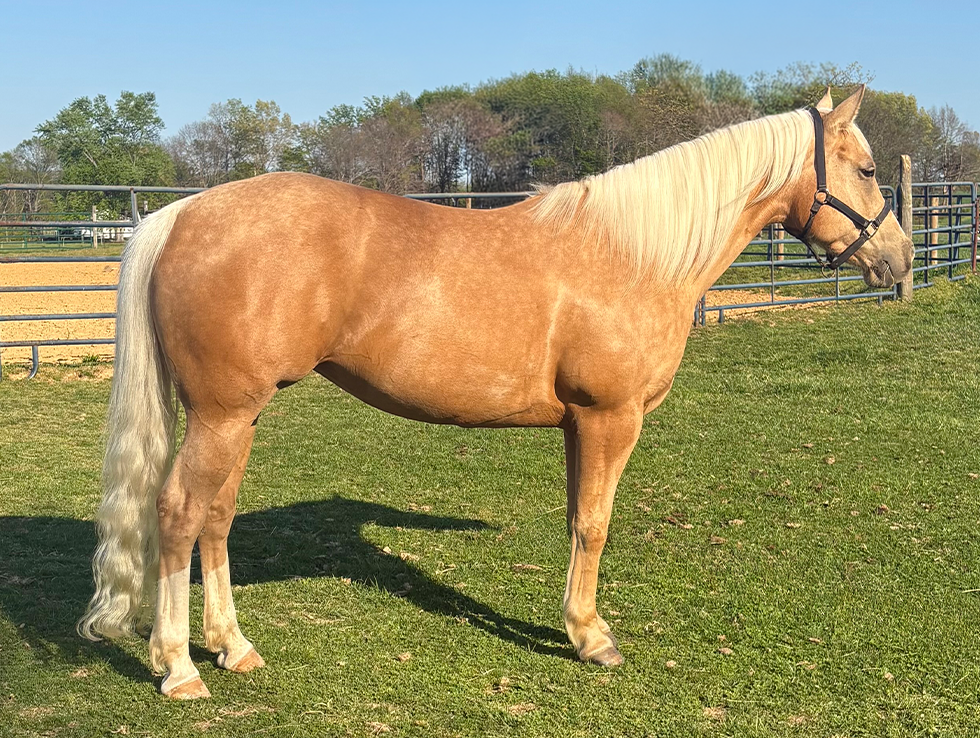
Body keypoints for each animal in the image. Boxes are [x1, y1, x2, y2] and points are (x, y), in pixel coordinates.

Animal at [78, 86, 913, 699]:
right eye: (869, 171)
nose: (900, 261)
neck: (635, 253)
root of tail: (182, 212)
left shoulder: (580, 425)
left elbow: (578, 520)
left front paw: (578, 626)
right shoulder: (611, 419)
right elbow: (594, 526)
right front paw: (592, 638)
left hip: (238, 418)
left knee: (214, 520)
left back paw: (234, 648)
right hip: (224, 415)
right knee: (179, 515)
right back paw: (179, 669)